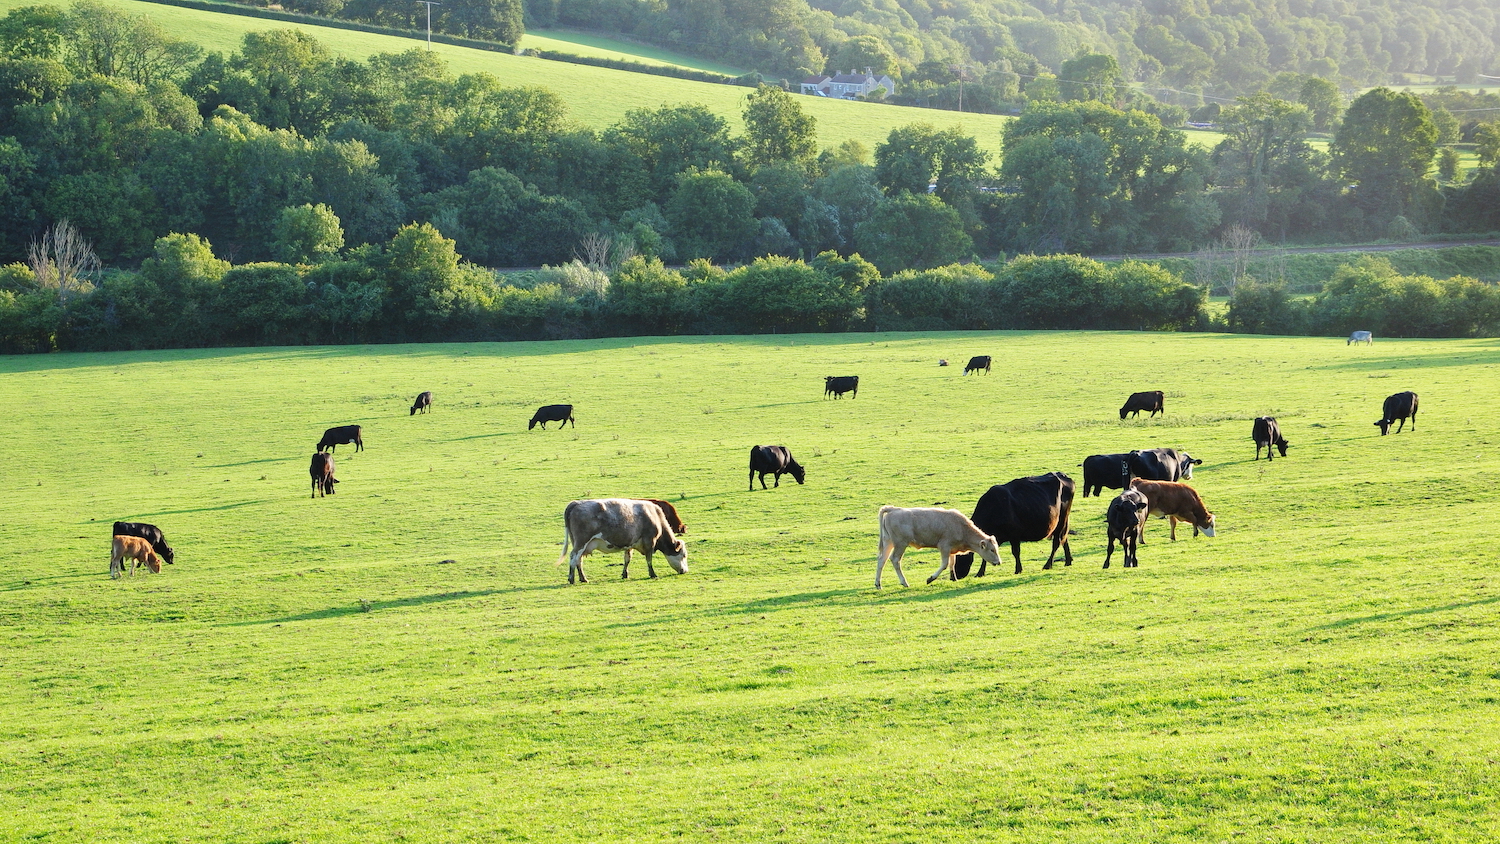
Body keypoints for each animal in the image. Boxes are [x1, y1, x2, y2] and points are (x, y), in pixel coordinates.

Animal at [558, 498, 687, 584]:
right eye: (684, 555)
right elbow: (649, 560)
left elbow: (627, 559)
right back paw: (571, 578)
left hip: (579, 543)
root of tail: (575, 503)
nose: (685, 571)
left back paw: (583, 578)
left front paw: (625, 574)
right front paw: (653, 574)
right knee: (574, 557)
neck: (655, 516)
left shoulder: (630, 544)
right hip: (581, 542)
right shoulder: (649, 541)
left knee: (578, 560)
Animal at [873, 506, 1003, 589]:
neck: (961, 528)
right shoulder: (944, 546)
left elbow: (952, 563)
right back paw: (904, 582)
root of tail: (894, 509)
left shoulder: (952, 549)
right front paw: (931, 578)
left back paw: (878, 584)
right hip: (900, 543)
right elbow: (945, 564)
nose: (999, 562)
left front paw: (954, 578)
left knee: (882, 560)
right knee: (895, 560)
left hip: (888, 541)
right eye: (992, 550)